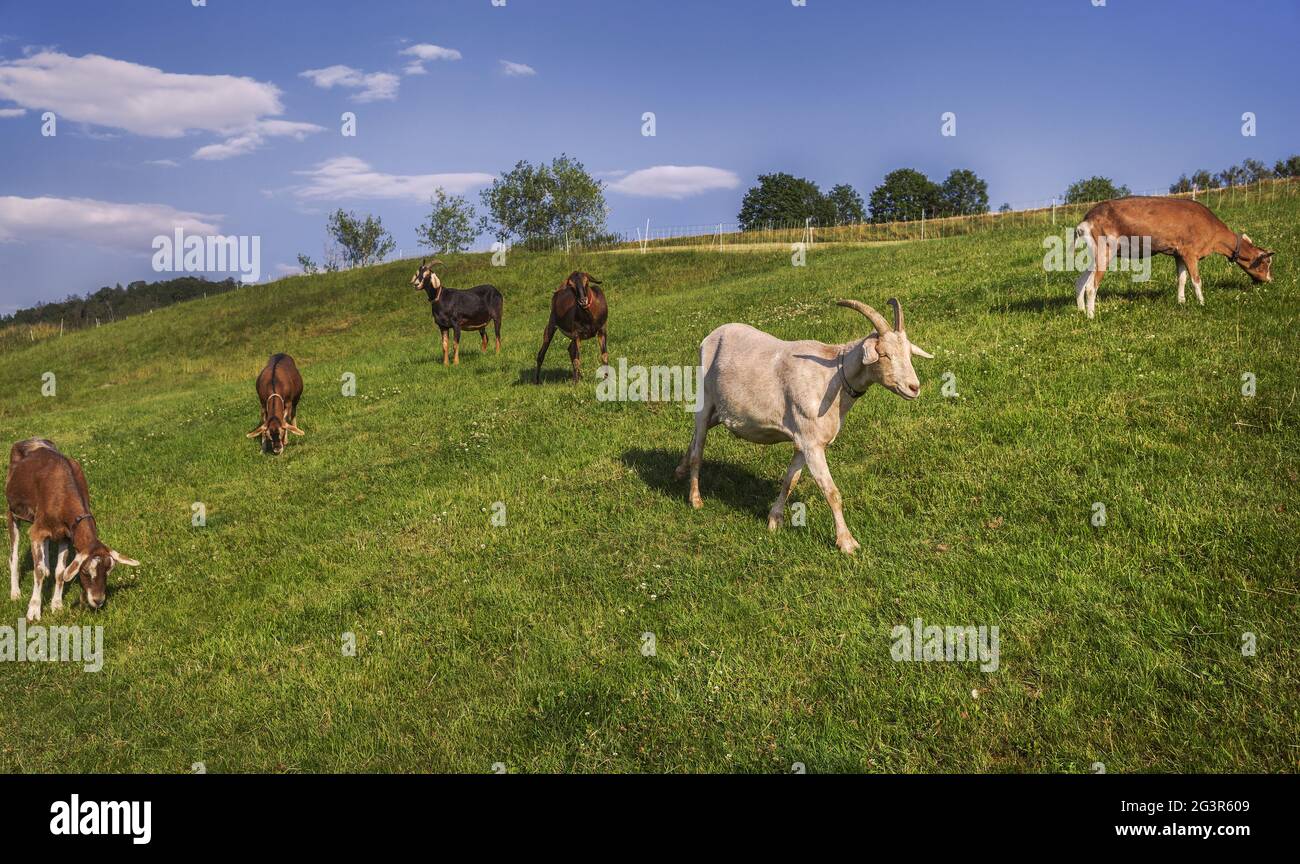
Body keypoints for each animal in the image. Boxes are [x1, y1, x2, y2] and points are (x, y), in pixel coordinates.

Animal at [6, 438, 139, 620]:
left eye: (109, 571)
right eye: (86, 571)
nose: (98, 601)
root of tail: (29, 440)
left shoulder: (66, 535)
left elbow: (60, 572)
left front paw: (57, 605)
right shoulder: (37, 531)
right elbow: (37, 570)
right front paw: (33, 610)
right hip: (12, 512)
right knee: (14, 555)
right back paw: (15, 593)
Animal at [675, 299, 932, 554]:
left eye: (909, 354)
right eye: (884, 354)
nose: (914, 387)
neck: (834, 378)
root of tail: (712, 335)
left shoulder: (802, 441)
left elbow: (791, 480)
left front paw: (774, 520)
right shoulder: (812, 443)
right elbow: (831, 492)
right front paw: (847, 542)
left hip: (722, 410)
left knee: (697, 435)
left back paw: (680, 469)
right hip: (705, 398)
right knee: (699, 445)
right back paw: (695, 498)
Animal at [1073, 196, 1274, 318]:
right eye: (1266, 263)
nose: (1269, 280)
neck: (1214, 232)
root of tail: (1086, 219)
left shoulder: (1178, 254)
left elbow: (1182, 279)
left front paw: (1181, 302)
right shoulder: (1190, 252)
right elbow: (1196, 280)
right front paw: (1202, 303)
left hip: (1095, 253)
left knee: (1081, 280)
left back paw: (1081, 310)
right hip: (1105, 250)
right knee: (1091, 286)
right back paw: (1091, 315)